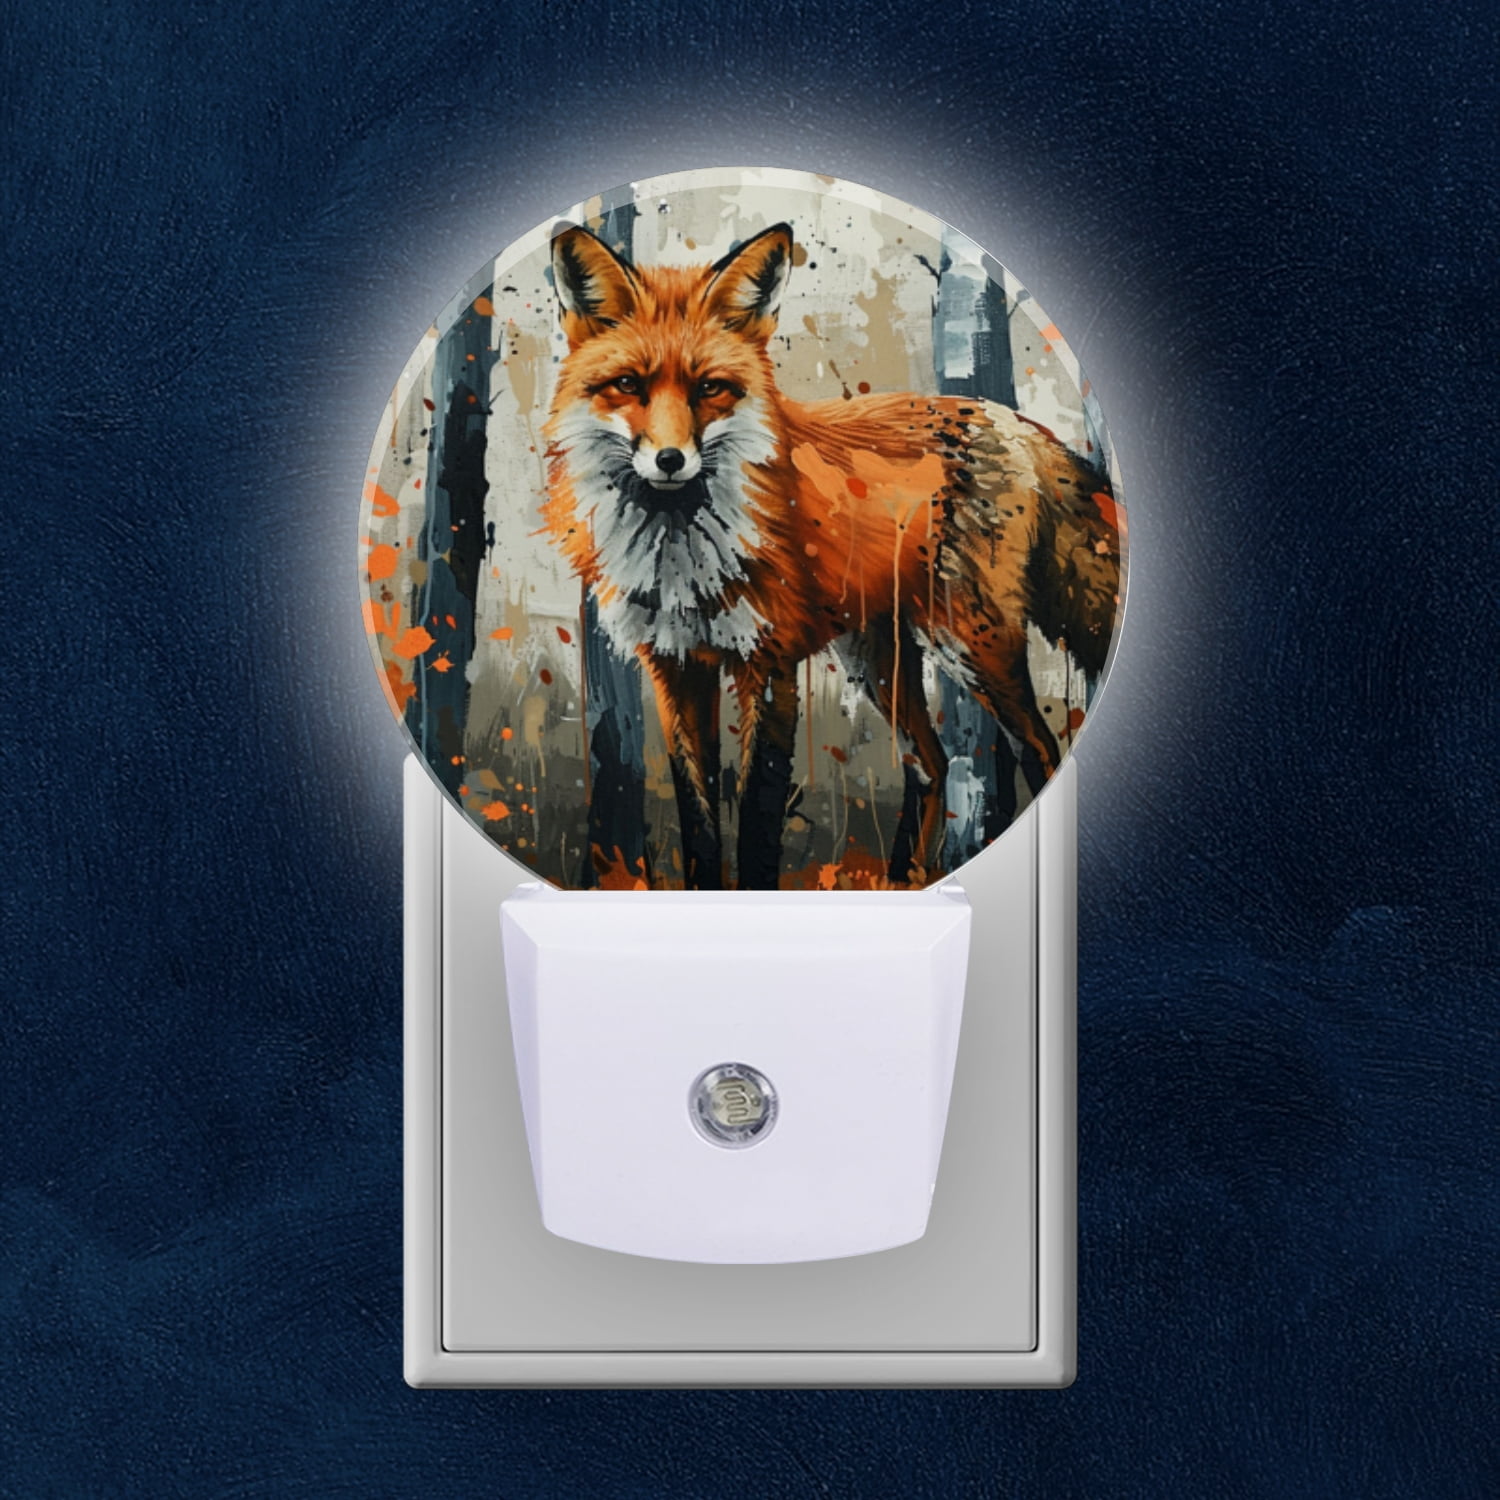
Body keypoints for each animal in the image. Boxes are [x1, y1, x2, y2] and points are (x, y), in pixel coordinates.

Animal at [541, 220, 1122, 890]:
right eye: (629, 385)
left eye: (709, 388)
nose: (669, 460)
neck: (680, 555)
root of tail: (1010, 420)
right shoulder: (677, 667)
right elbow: (700, 824)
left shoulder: (768, 664)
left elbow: (759, 820)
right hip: (875, 658)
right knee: (930, 762)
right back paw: (902, 882)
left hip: (972, 642)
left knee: (1040, 750)